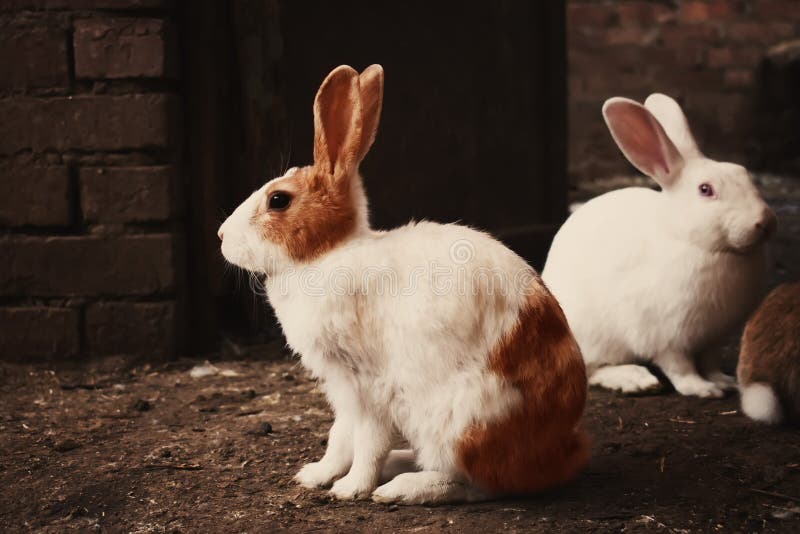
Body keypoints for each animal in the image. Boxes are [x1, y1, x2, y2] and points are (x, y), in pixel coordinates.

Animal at [217, 65, 589, 504]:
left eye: (278, 200)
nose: (221, 236)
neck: (326, 254)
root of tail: (560, 454)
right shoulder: (341, 389)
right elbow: (339, 436)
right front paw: (315, 475)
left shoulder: (367, 386)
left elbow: (367, 440)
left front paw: (351, 488)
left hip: (457, 423)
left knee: (475, 483)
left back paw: (399, 488)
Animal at [541, 93, 777, 399]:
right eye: (706, 190)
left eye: (744, 173)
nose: (765, 222)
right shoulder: (665, 336)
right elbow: (680, 367)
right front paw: (702, 389)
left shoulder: (713, 339)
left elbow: (710, 362)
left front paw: (725, 382)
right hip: (592, 337)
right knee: (591, 369)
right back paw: (635, 379)